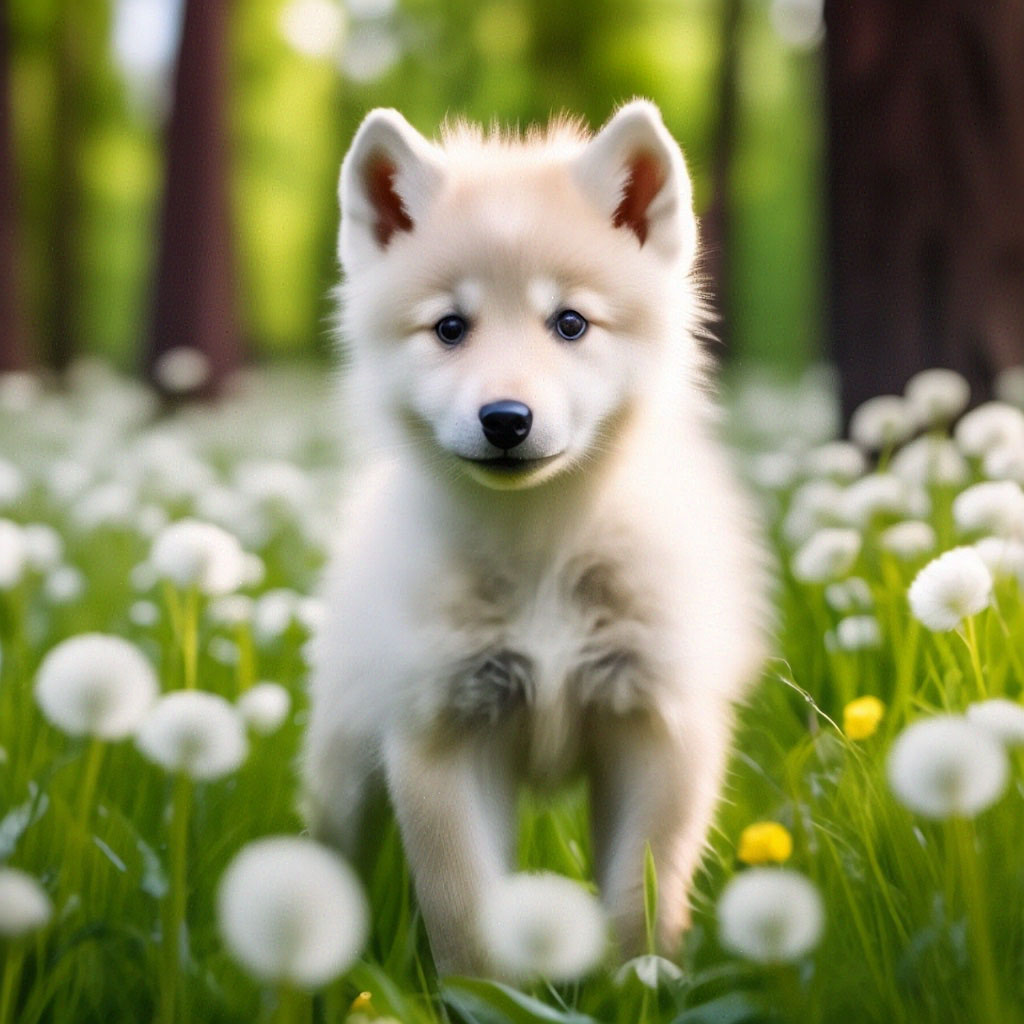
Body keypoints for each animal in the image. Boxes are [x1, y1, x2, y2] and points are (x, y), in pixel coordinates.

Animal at [302, 100, 769, 977]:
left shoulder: (658, 729)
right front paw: (484, 997)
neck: (541, 553)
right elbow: (467, 923)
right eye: (451, 327)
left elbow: (637, 904)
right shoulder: (439, 736)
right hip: (343, 769)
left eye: (571, 323)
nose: (505, 419)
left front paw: (636, 986)